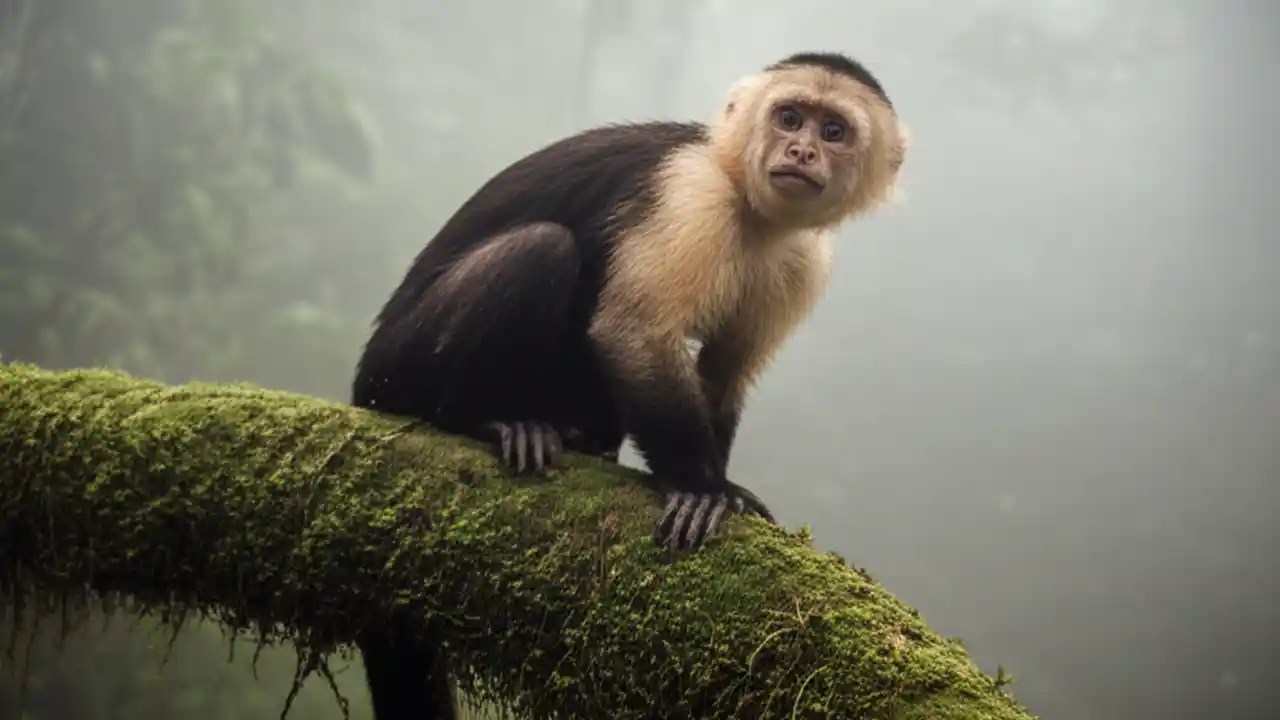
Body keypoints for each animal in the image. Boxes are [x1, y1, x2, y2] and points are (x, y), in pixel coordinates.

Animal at [350, 51, 907, 719]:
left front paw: (717, 483)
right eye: (790, 117)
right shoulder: (688, 194)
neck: (747, 202)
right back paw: (479, 418)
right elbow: (633, 334)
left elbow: (722, 372)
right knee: (541, 249)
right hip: (399, 362)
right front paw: (701, 487)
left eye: (833, 131)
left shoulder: (804, 259)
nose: (801, 151)